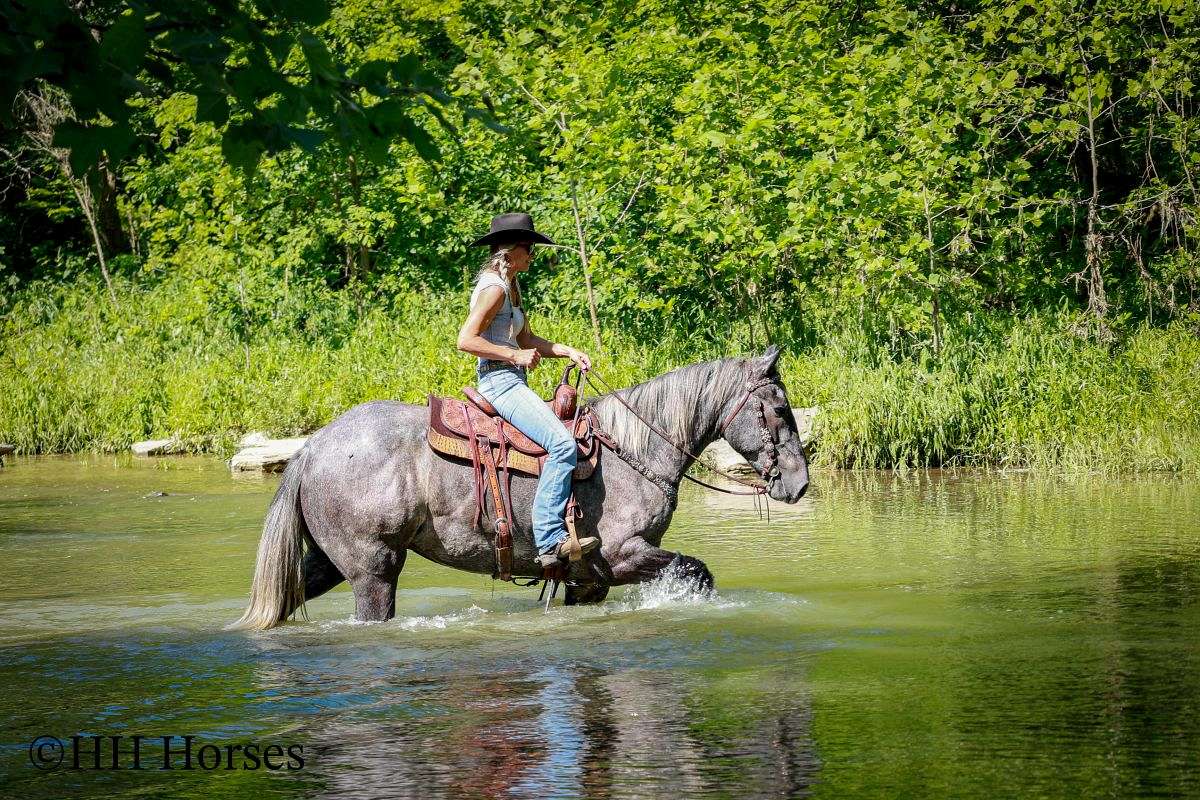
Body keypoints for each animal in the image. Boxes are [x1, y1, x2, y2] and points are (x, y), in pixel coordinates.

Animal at [230, 345, 810, 629]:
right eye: (779, 408)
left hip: (330, 562)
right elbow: (696, 572)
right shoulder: (623, 554)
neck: (635, 449)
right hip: (374, 569)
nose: (800, 484)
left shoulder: (590, 576)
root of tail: (310, 449)